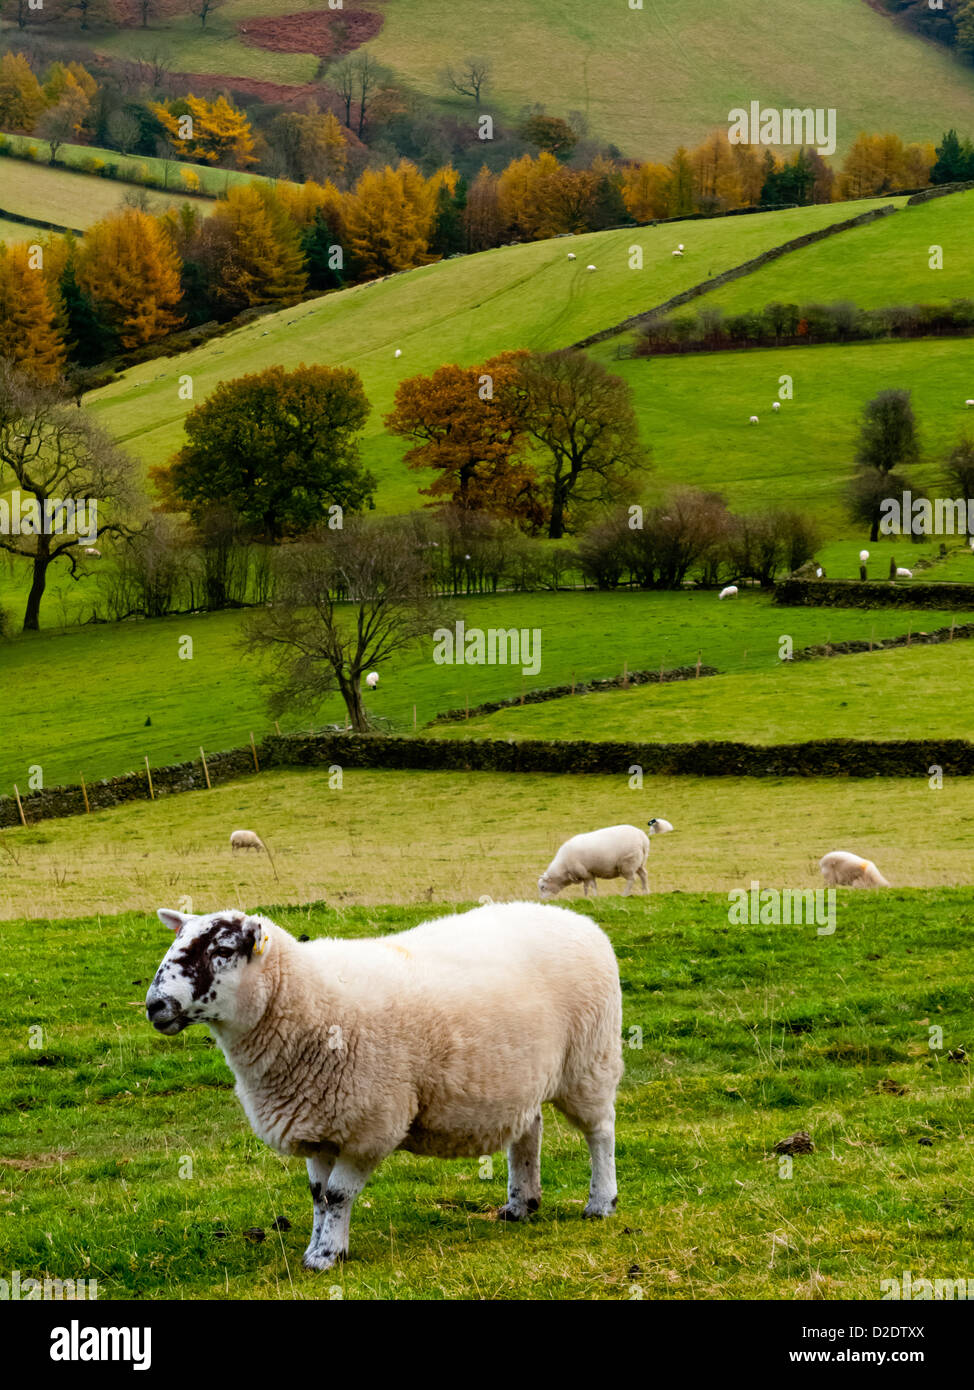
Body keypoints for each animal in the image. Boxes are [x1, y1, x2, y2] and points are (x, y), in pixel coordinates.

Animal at [145, 903, 623, 1269]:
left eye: (223, 949)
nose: (155, 1006)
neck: (305, 999)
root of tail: (578, 919)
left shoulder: (370, 1126)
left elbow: (338, 1194)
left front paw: (327, 1256)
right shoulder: (318, 1122)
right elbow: (317, 1195)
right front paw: (314, 1247)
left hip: (588, 1062)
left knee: (600, 1133)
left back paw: (601, 1203)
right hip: (520, 1075)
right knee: (529, 1130)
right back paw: (522, 1204)